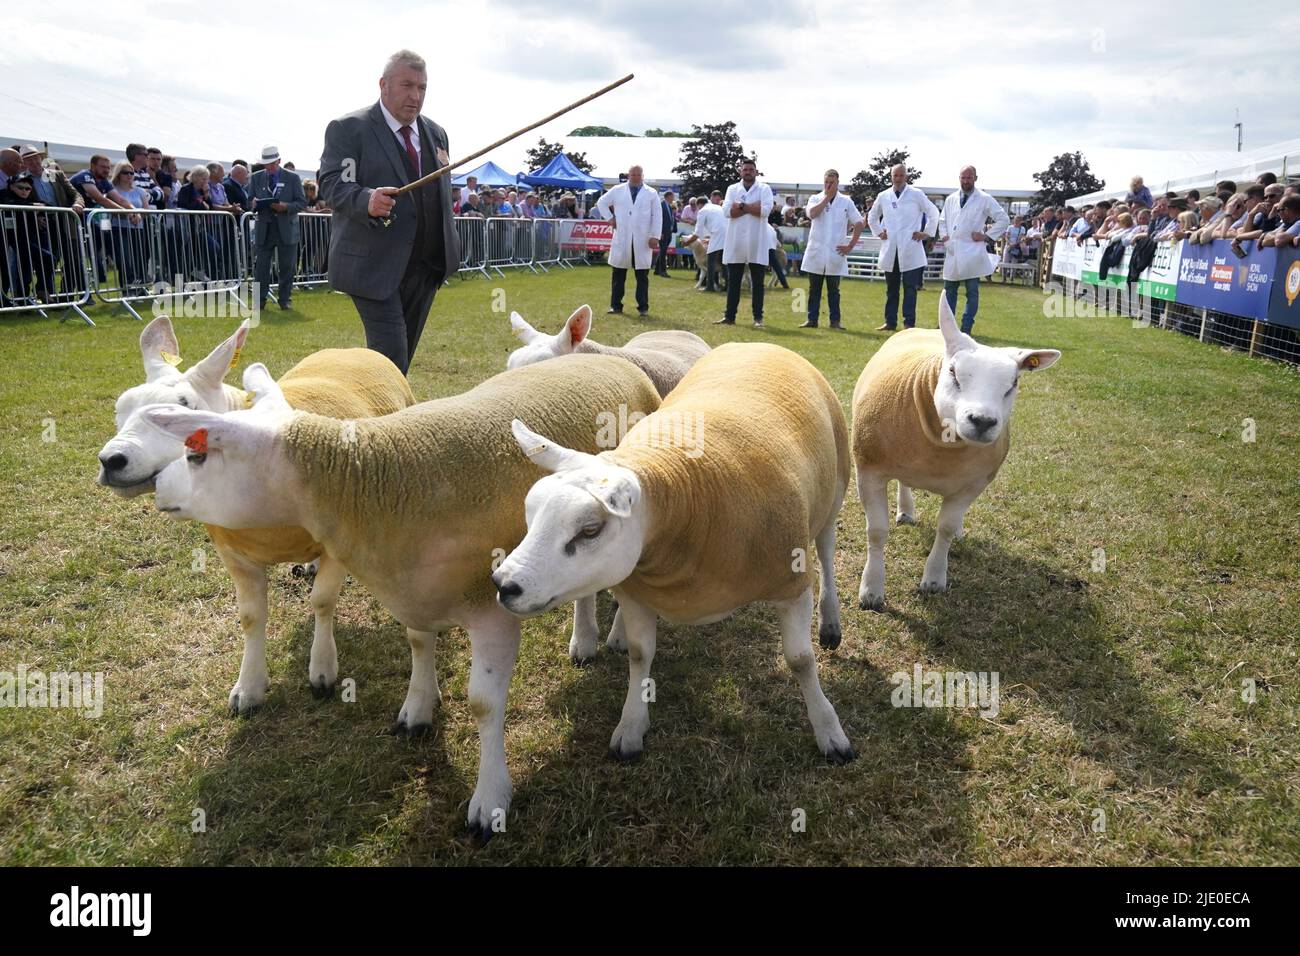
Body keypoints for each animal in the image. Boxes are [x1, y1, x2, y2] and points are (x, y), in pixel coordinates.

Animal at [98, 315, 415, 711]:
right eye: (119, 411)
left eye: (184, 407)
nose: (111, 460)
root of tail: (352, 349)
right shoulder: (234, 555)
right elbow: (250, 618)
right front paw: (248, 688)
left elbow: (323, 601)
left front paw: (322, 669)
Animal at [139, 354, 662, 840]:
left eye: (197, 456)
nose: (157, 485)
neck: (373, 479)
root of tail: (608, 357)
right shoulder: (414, 586)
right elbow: (418, 645)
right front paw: (418, 709)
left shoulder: (493, 610)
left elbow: (483, 706)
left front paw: (490, 797)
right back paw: (587, 639)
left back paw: (614, 636)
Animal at [493, 342, 855, 765]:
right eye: (530, 512)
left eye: (590, 530)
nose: (504, 584)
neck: (689, 497)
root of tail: (756, 344)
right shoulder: (636, 591)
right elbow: (639, 654)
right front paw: (631, 726)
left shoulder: (791, 585)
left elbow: (800, 661)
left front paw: (830, 731)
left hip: (834, 493)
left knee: (826, 553)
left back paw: (830, 622)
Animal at [851, 294, 1060, 609]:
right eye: (953, 372)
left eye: (1013, 384)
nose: (982, 421)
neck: (941, 450)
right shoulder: (869, 469)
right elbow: (876, 531)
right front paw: (872, 589)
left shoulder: (973, 484)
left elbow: (946, 529)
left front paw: (934, 578)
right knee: (903, 482)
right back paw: (906, 510)